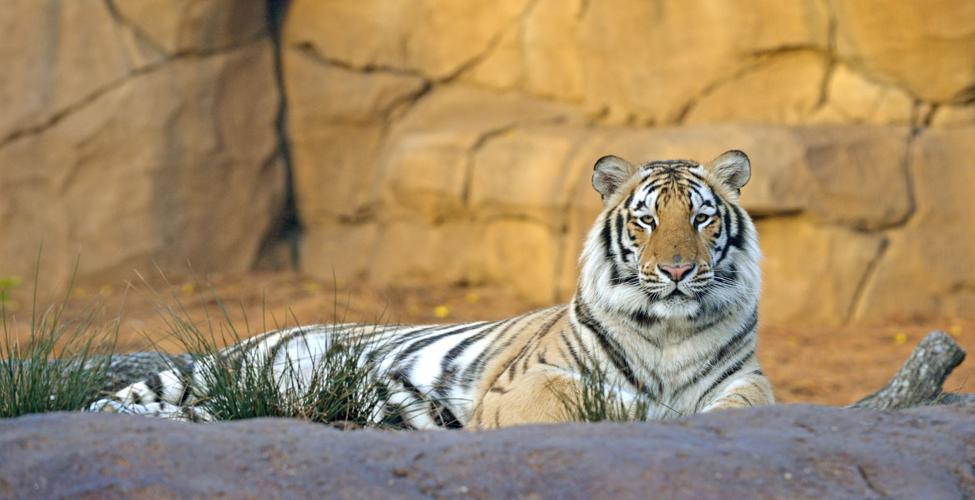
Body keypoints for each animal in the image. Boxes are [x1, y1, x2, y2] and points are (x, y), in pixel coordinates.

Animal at [89, 150, 773, 429]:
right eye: (647, 220)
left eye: (702, 219)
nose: (678, 271)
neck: (671, 331)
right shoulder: (526, 382)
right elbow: (586, 400)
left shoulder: (745, 379)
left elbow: (744, 405)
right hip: (213, 369)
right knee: (107, 403)